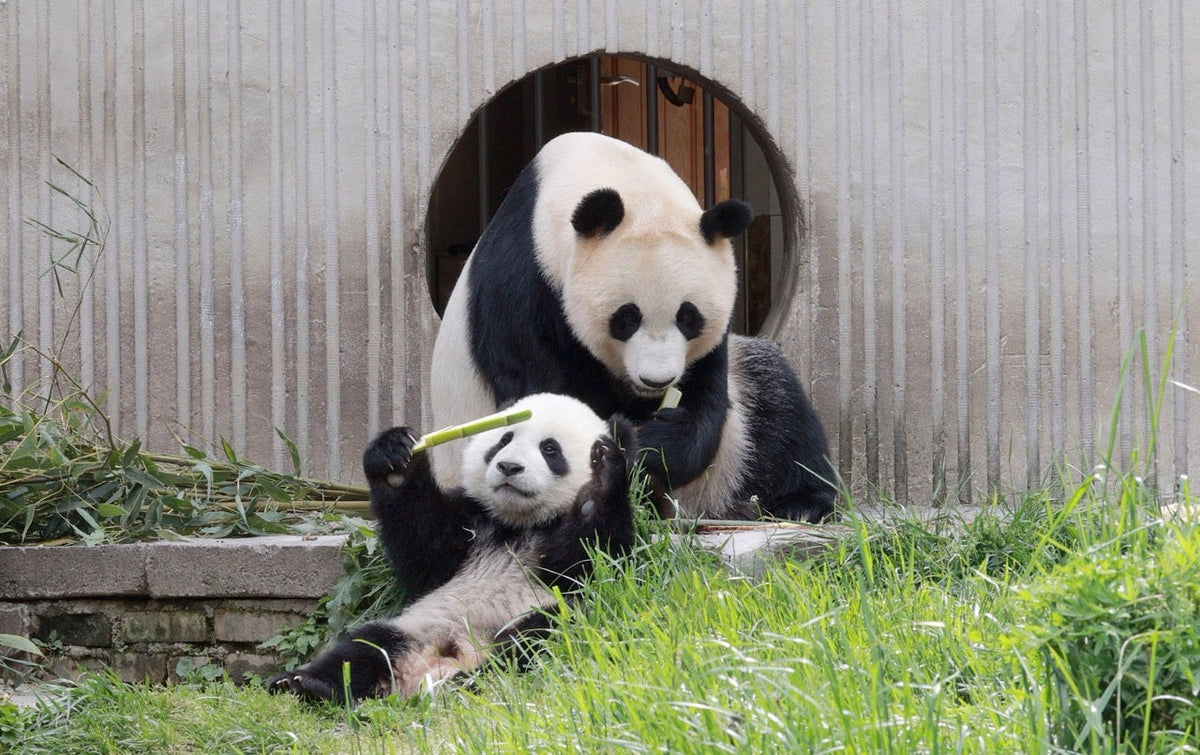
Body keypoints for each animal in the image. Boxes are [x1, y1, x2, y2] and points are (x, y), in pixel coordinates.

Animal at [268, 393, 636, 704]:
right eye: (504, 439)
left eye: (550, 450)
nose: (509, 467)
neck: (517, 525)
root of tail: (434, 666)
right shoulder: (469, 522)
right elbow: (424, 548)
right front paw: (395, 461)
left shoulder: (570, 562)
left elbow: (590, 561)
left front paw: (601, 477)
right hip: (416, 625)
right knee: (365, 646)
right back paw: (307, 684)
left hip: (535, 618)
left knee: (536, 640)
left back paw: (470, 682)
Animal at [431, 131, 834, 523]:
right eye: (626, 318)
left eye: (689, 318)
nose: (656, 380)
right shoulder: (521, 286)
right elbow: (545, 394)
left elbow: (707, 399)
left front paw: (657, 439)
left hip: (734, 444)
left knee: (777, 407)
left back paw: (799, 503)